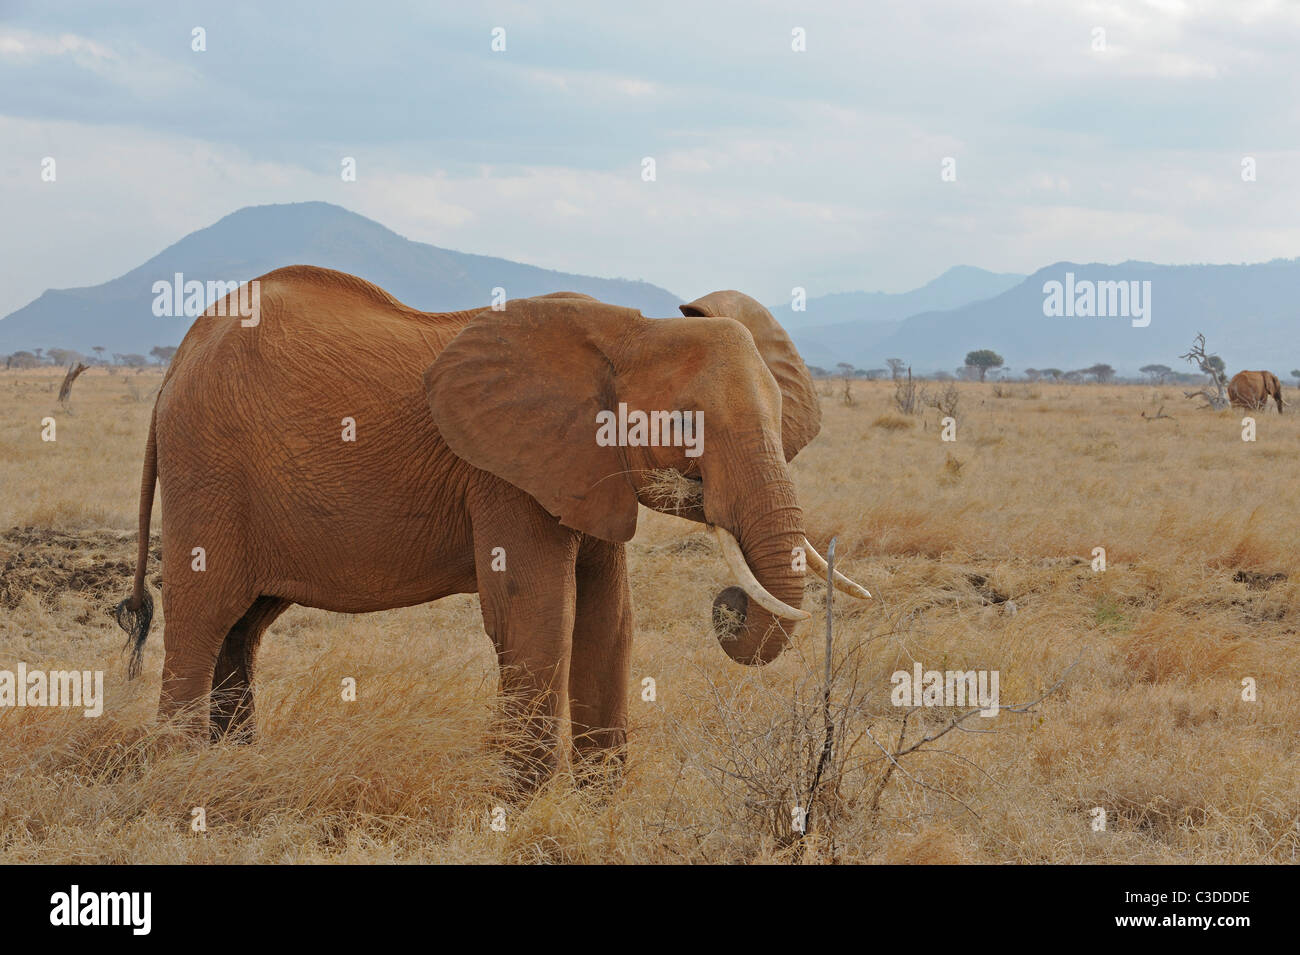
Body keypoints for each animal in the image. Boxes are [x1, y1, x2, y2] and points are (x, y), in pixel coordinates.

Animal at [113, 265, 868, 784]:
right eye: (684, 425)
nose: (728, 605)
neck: (631, 333)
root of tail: (175, 365)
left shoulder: (583, 466)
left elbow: (610, 621)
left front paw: (597, 802)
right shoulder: (505, 476)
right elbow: (536, 615)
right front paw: (520, 805)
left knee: (243, 628)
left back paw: (236, 769)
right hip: (206, 468)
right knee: (204, 615)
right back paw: (183, 780)